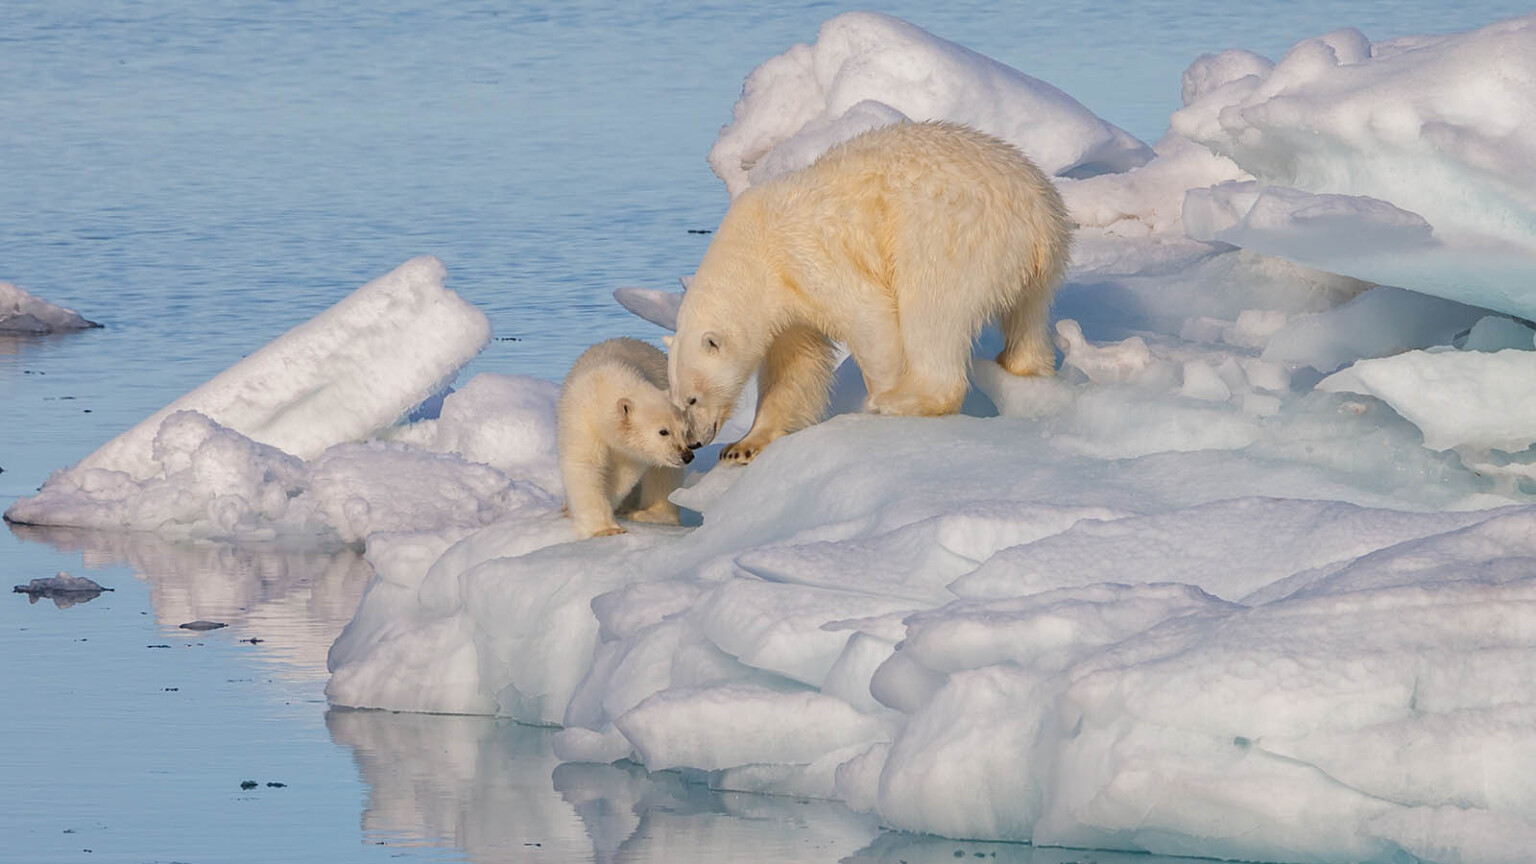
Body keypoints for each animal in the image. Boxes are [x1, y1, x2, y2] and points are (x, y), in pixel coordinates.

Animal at [558, 337, 694, 538]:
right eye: (663, 431)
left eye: (684, 430)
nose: (687, 456)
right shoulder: (582, 418)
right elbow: (585, 464)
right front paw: (606, 529)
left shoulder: (631, 452)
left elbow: (622, 474)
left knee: (663, 476)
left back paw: (646, 513)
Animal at [667, 121, 1072, 463]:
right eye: (675, 399)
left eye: (692, 398)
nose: (695, 442)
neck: (754, 252)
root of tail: (1040, 215)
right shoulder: (786, 302)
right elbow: (793, 367)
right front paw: (743, 446)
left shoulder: (807, 257)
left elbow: (870, 318)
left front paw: (879, 396)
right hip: (1036, 265)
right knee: (1028, 316)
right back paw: (1022, 367)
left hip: (951, 236)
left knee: (932, 311)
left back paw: (901, 401)